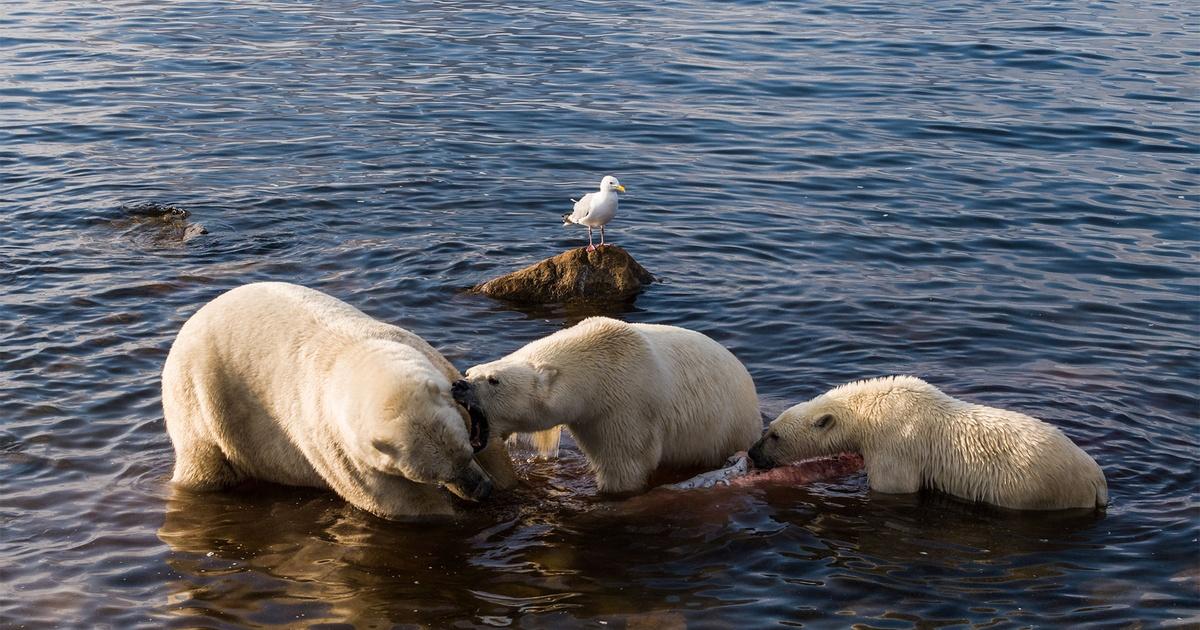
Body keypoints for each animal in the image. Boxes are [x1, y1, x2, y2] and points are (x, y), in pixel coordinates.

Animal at [162, 281, 517, 520]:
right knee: (204, 463)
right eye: (433, 476)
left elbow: (493, 449)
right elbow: (396, 500)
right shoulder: (337, 447)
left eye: (466, 451)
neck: (356, 354)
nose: (480, 490)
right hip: (200, 401)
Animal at [452, 316, 763, 494]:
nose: (459, 385)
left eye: (493, 380)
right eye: (469, 371)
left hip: (728, 427)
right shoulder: (589, 416)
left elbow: (625, 466)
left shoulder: (623, 406)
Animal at [747, 375, 1108, 510]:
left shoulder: (895, 445)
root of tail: (1098, 481)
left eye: (774, 435)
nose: (752, 453)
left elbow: (894, 486)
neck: (869, 411)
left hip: (1039, 490)